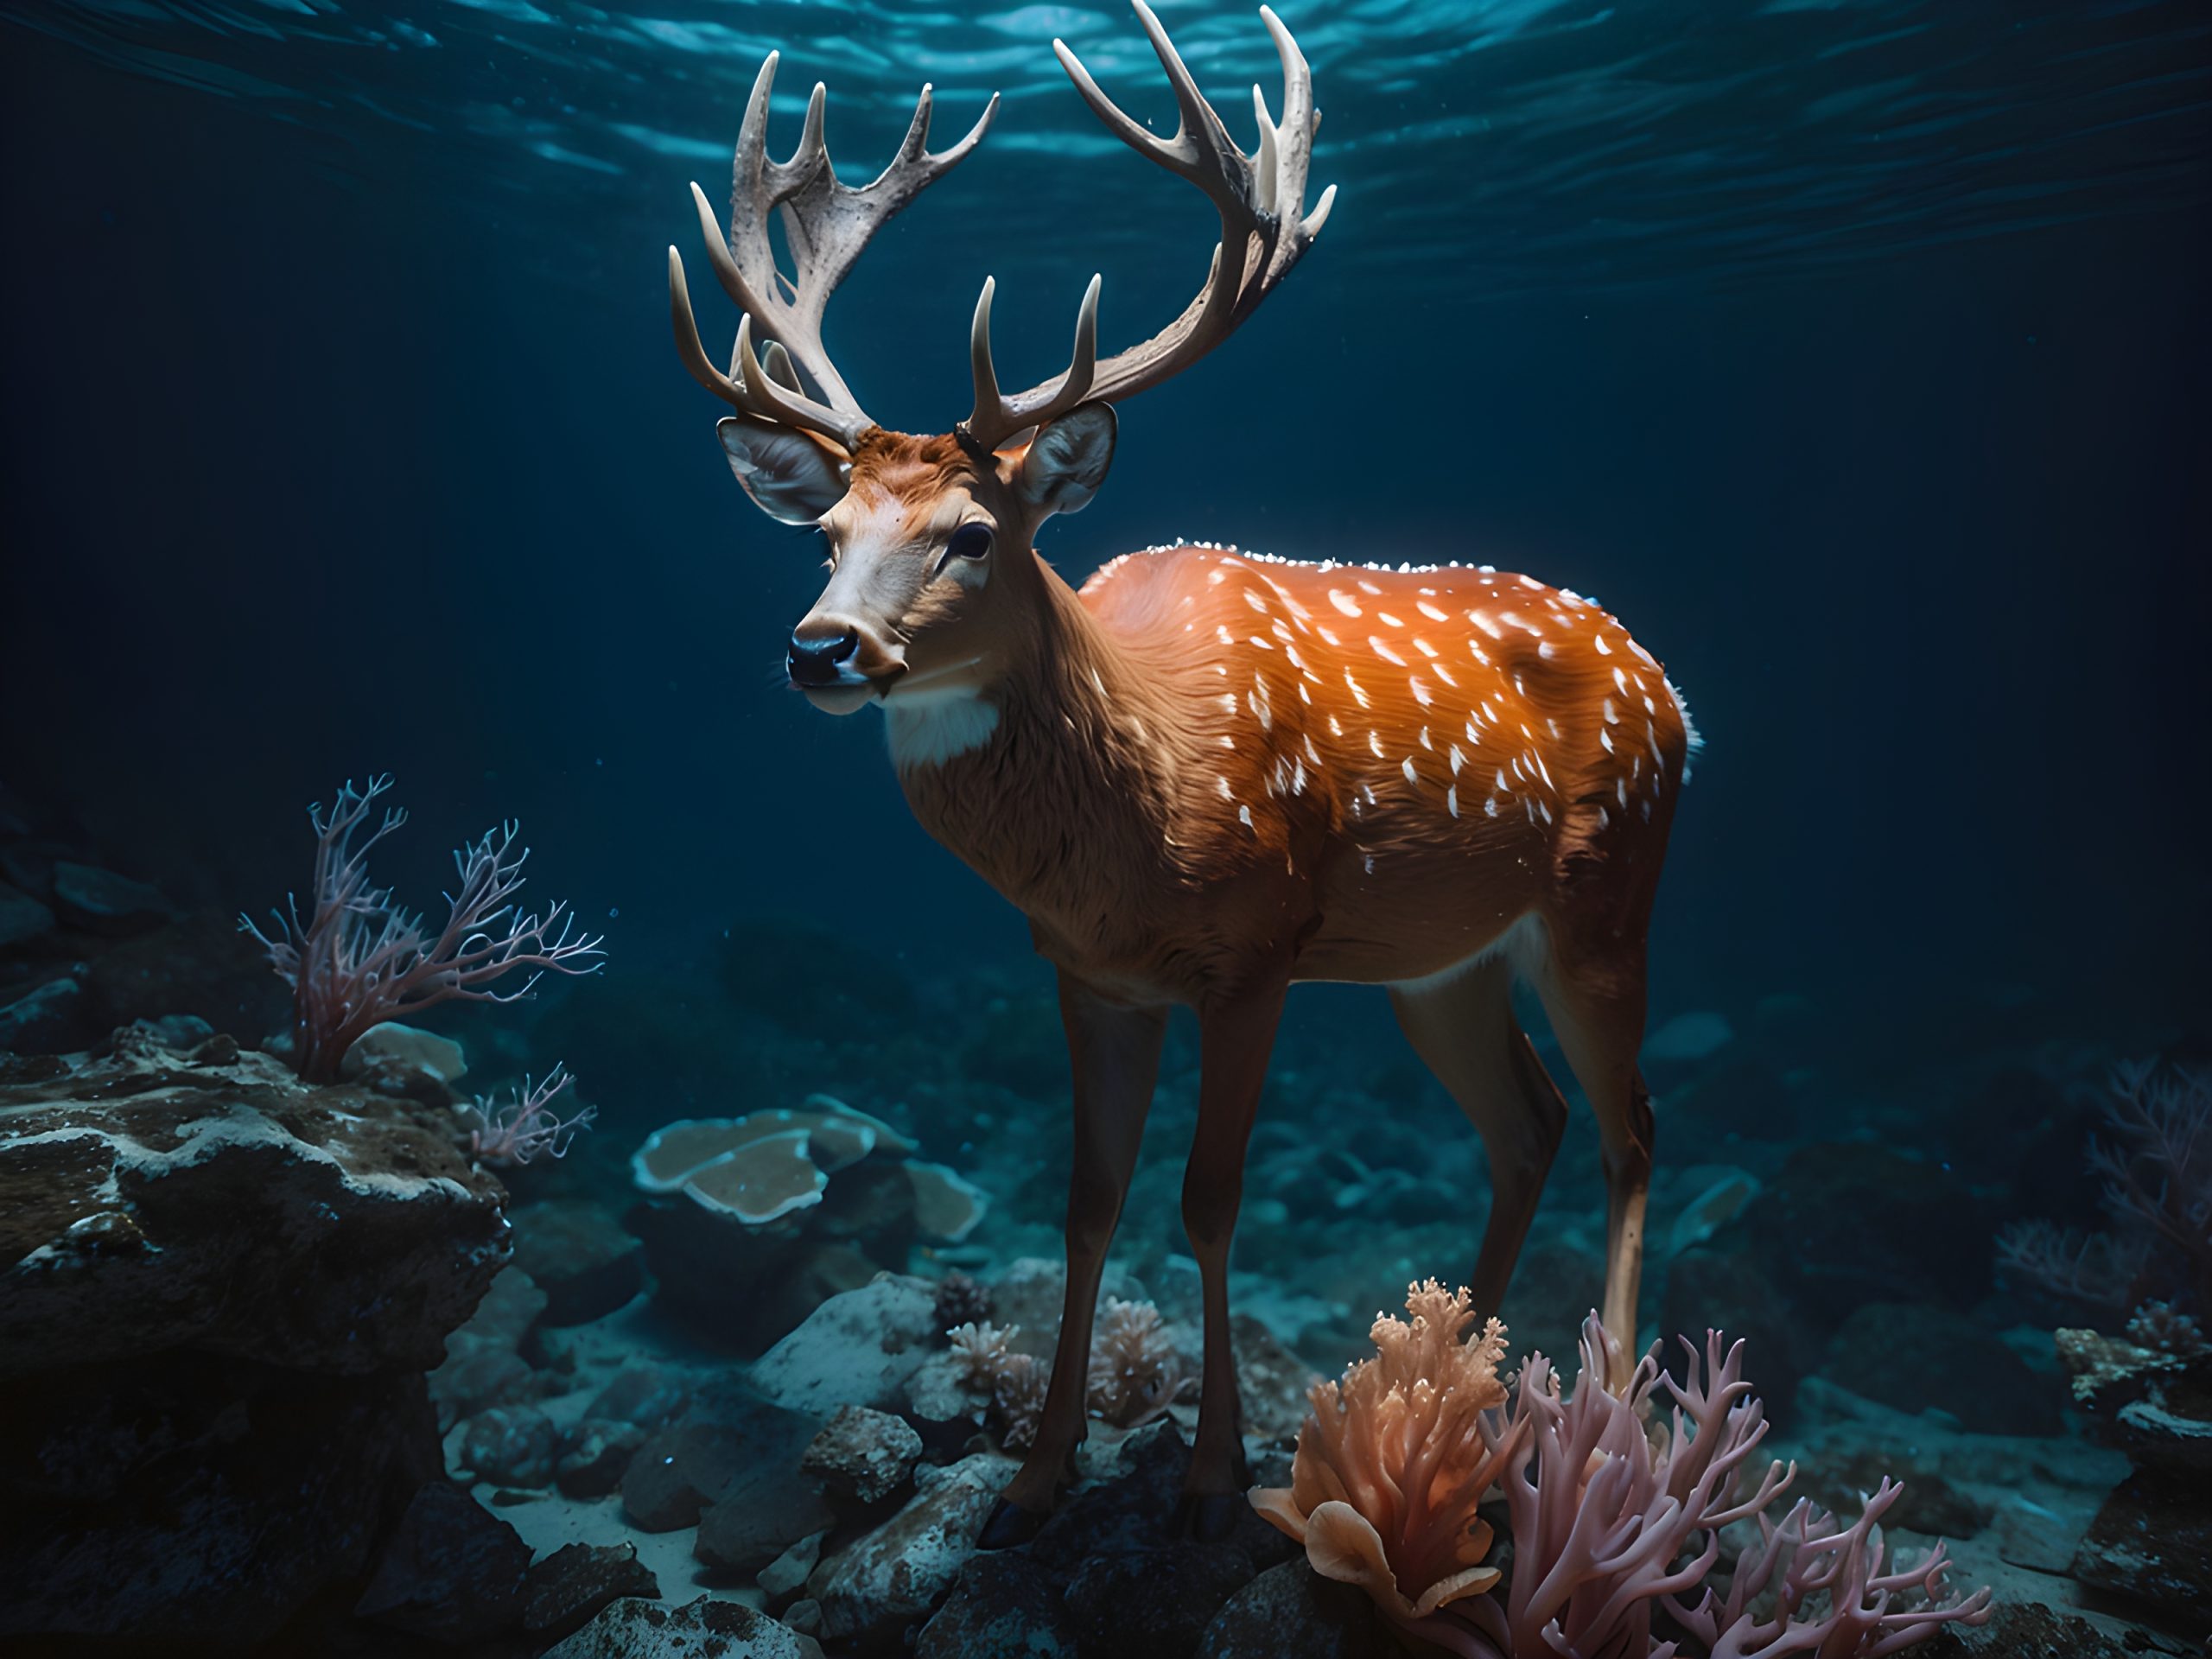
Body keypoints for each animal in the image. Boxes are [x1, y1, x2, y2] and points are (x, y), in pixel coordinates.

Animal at [667, 1, 1695, 1544]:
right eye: (826, 533)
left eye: (975, 532)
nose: (821, 648)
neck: (1145, 786)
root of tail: (1671, 687)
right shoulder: (1086, 972)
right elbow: (1088, 1202)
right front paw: (1036, 1478)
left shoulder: (1258, 950)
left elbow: (1211, 1198)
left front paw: (1212, 1471)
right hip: (1439, 964)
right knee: (1533, 1125)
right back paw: (1447, 1397)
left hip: (1605, 895)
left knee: (1632, 1129)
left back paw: (1611, 1420)